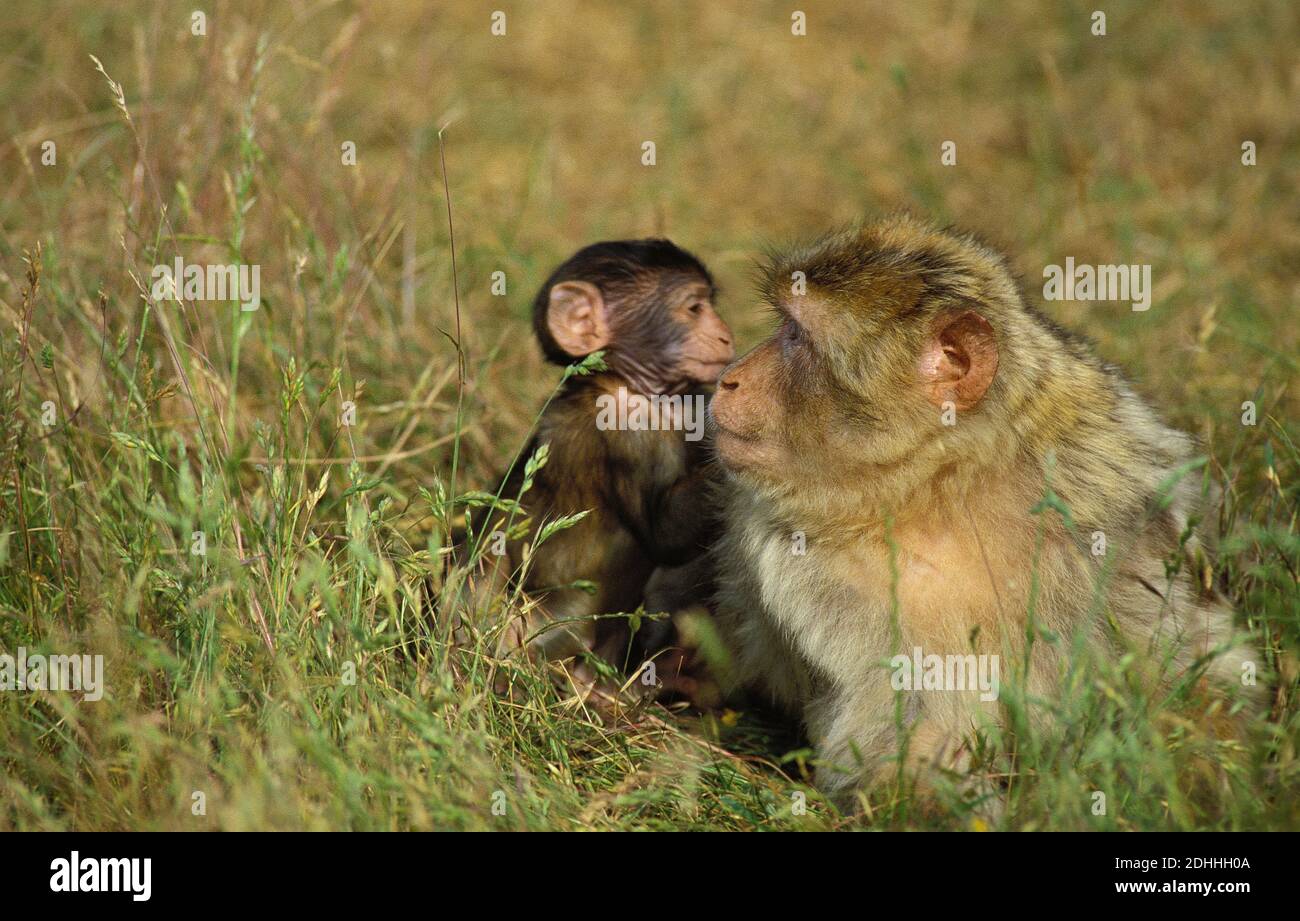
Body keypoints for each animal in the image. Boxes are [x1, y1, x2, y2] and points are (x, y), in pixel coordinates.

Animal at [707, 214, 1262, 807]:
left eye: (794, 335)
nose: (729, 377)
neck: (942, 488)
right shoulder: (822, 580)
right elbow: (902, 744)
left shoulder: (1113, 500)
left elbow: (1195, 672)